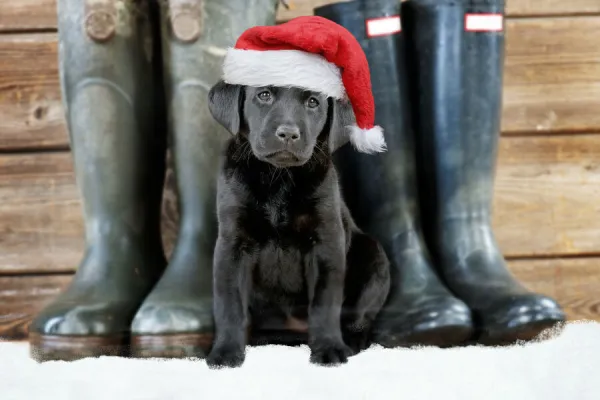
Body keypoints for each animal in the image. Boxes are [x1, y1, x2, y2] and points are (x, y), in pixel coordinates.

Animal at [206, 81, 392, 368]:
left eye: (313, 102)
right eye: (264, 95)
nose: (288, 134)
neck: (278, 176)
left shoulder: (326, 241)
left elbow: (325, 301)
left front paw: (328, 348)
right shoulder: (232, 243)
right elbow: (230, 303)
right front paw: (226, 352)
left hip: (374, 256)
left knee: (360, 318)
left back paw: (350, 343)